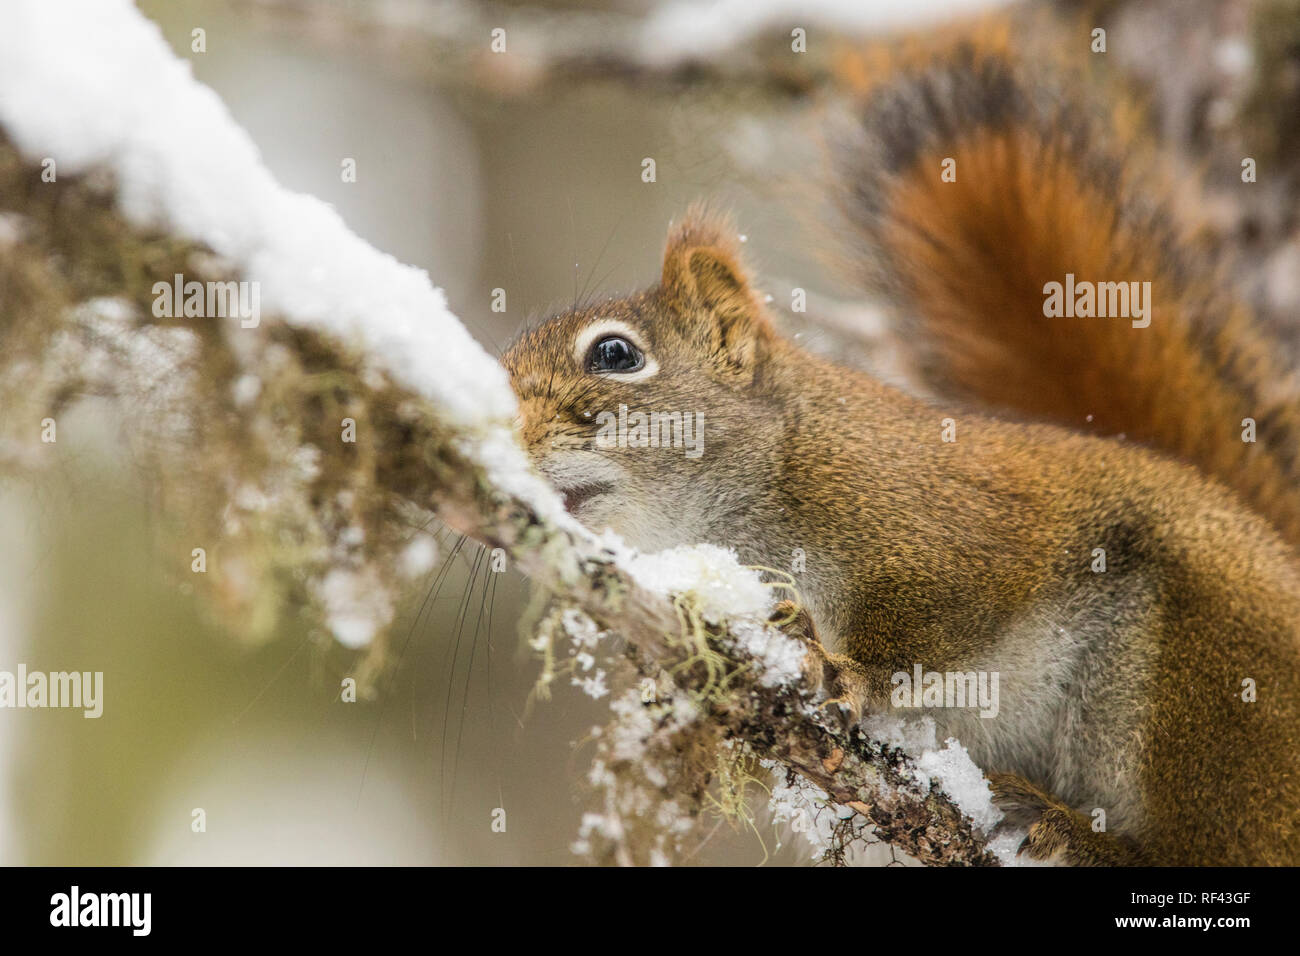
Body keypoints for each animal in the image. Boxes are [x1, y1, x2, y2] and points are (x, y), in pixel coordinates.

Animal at [501, 28, 1300, 866]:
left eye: (615, 354)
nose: (506, 432)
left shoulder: (938, 521)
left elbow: (929, 621)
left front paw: (842, 668)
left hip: (1202, 676)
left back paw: (1078, 835)